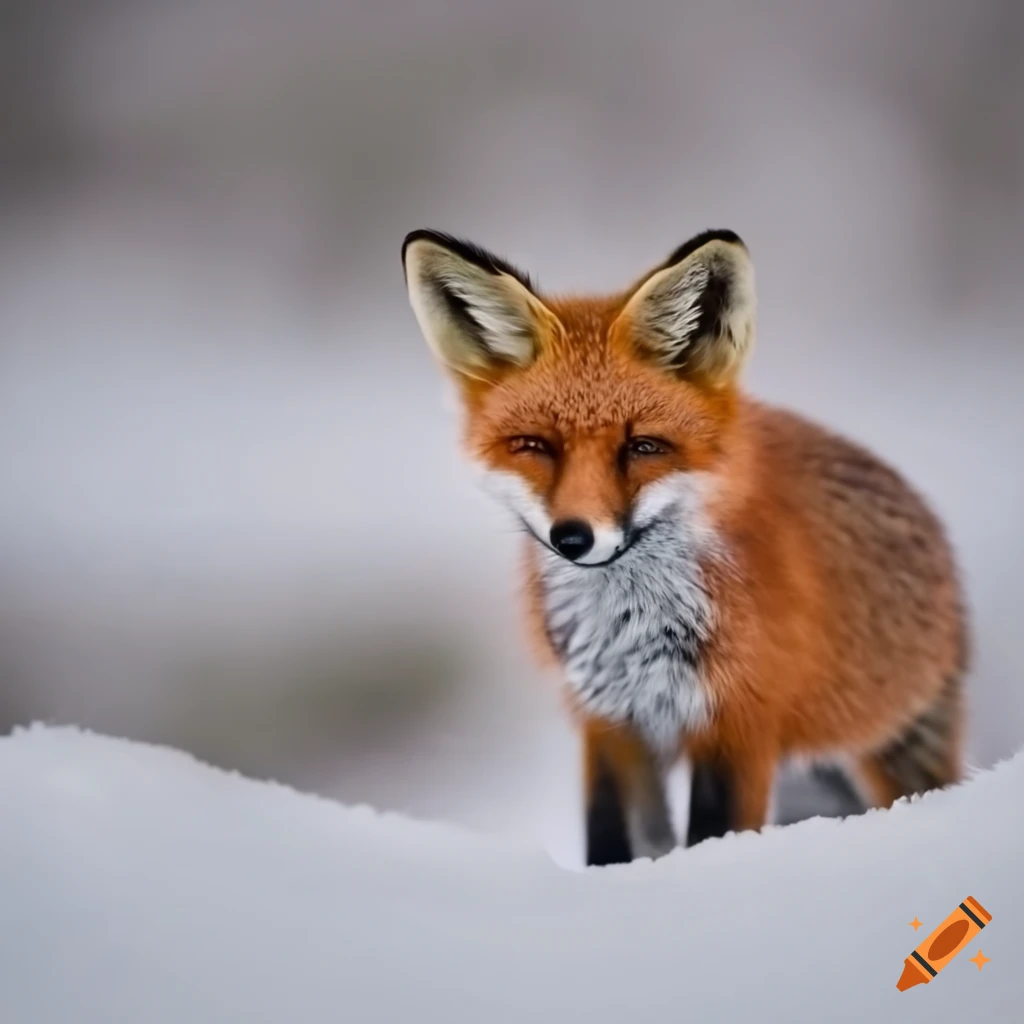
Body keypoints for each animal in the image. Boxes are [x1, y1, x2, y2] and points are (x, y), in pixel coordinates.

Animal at [401, 226, 969, 866]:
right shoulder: (608, 722)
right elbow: (613, 842)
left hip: (886, 753)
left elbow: (714, 835)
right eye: (535, 446)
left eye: (642, 447)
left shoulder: (739, 724)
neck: (632, 630)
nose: (574, 537)